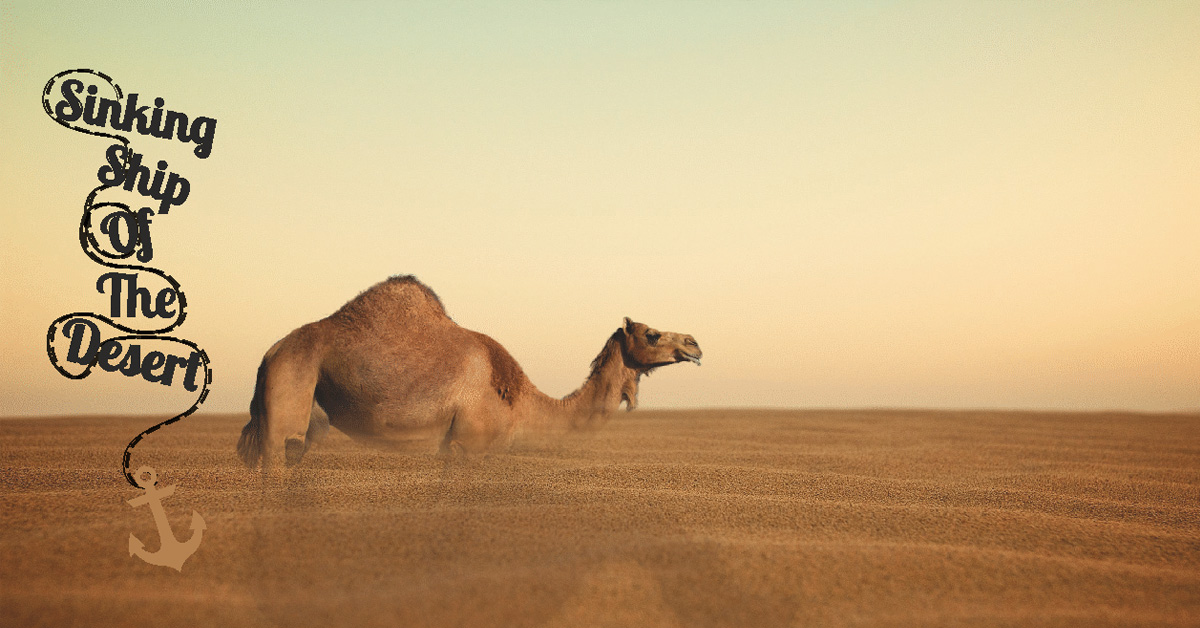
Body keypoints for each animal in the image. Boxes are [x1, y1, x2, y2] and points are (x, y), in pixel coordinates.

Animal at [237, 275, 701, 469]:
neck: (522, 401)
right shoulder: (469, 444)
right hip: (287, 393)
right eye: (652, 333)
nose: (694, 344)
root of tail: (269, 354)